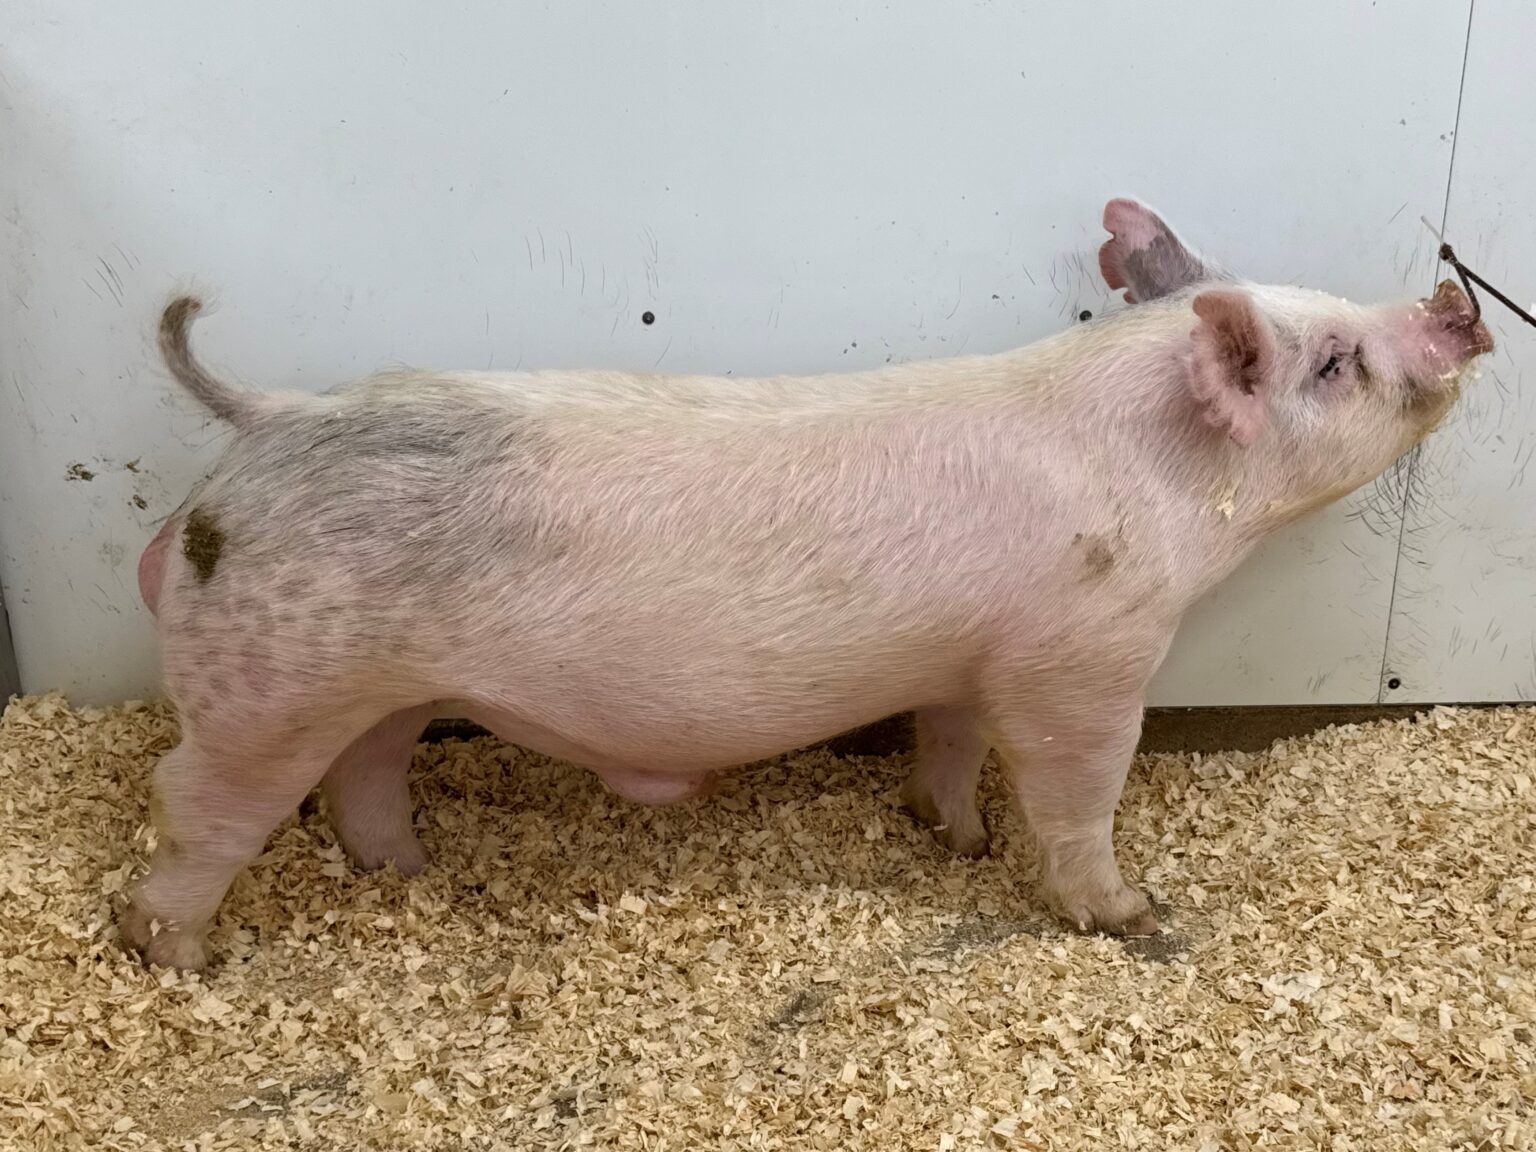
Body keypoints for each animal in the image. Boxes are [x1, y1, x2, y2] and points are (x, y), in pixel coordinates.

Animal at [122, 197, 1493, 970]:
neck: (1155, 476)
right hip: (269, 683)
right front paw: (1131, 913)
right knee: (195, 801)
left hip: (381, 683)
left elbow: (947, 743)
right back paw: (175, 957)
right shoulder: (1085, 654)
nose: (1456, 305)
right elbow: (1077, 788)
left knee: (365, 771)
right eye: (1333, 362)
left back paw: (408, 876)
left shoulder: (967, 660)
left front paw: (951, 837)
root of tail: (270, 417)